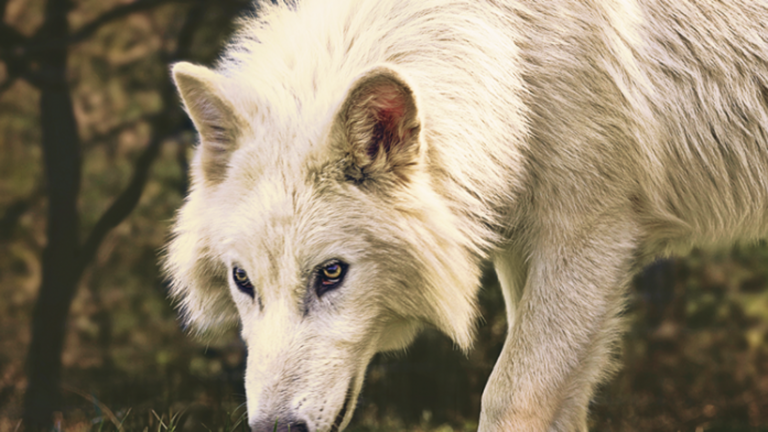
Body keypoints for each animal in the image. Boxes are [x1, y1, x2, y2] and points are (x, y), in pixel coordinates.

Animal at [163, 0, 768, 430]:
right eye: (243, 281)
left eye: (331, 273)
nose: (274, 428)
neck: (511, 60)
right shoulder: (523, 253)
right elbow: (566, 406)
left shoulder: (590, 239)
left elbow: (510, 397)